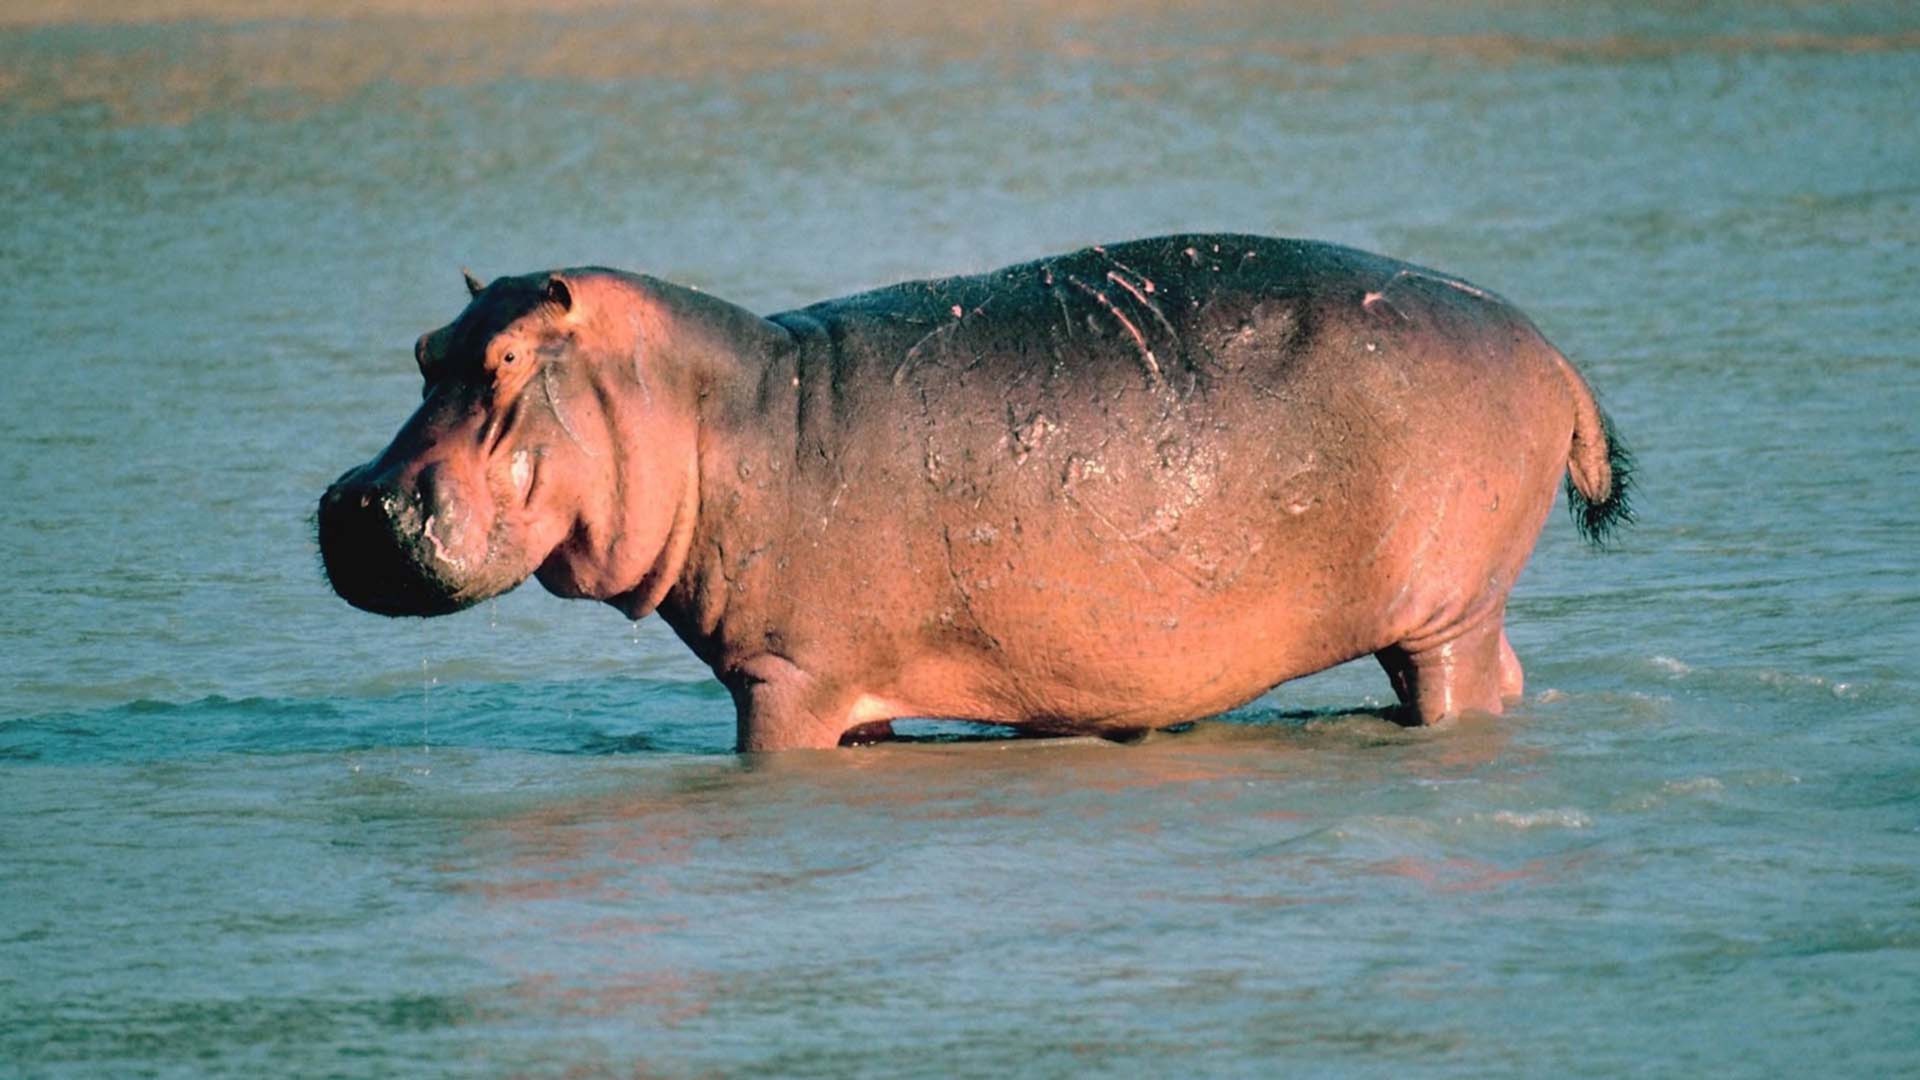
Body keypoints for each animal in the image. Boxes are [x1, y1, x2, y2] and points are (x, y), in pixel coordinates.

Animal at [318, 234, 1631, 751]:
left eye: (502, 361)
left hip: (1444, 612)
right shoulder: (848, 682)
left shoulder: (787, 679)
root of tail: (1551, 353)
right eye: (424, 348)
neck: (715, 415)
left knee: (1462, 693)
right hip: (1464, 607)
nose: (355, 503)